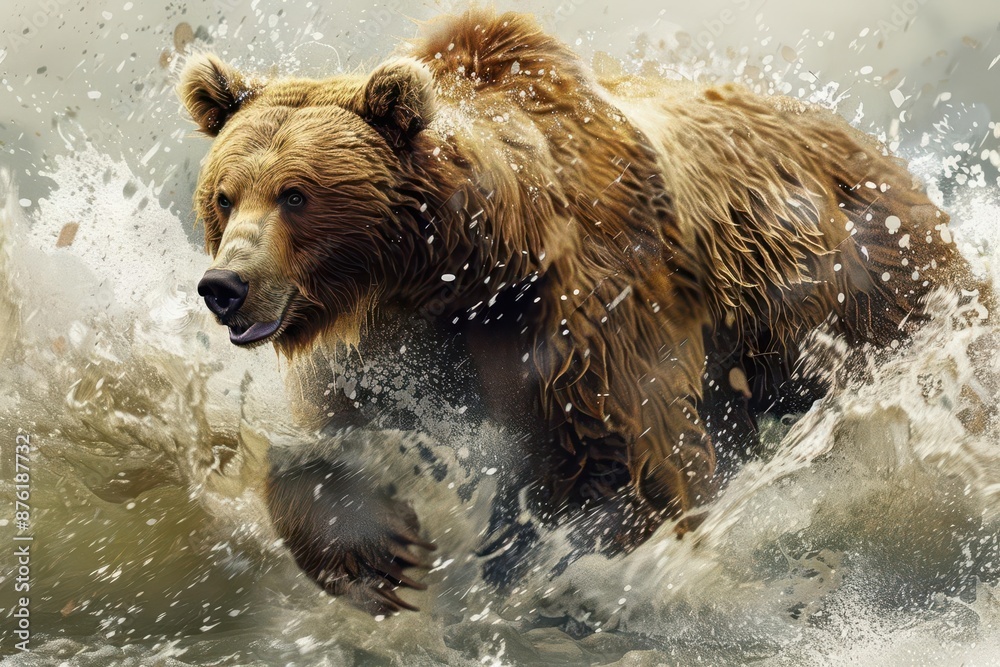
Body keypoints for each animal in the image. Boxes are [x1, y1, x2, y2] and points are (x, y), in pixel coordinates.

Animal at [178, 9, 986, 613]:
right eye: (224, 194)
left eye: (296, 194)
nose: (226, 285)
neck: (468, 268)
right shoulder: (383, 345)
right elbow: (330, 440)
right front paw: (380, 556)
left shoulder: (587, 314)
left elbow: (635, 466)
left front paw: (545, 564)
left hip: (868, 281)